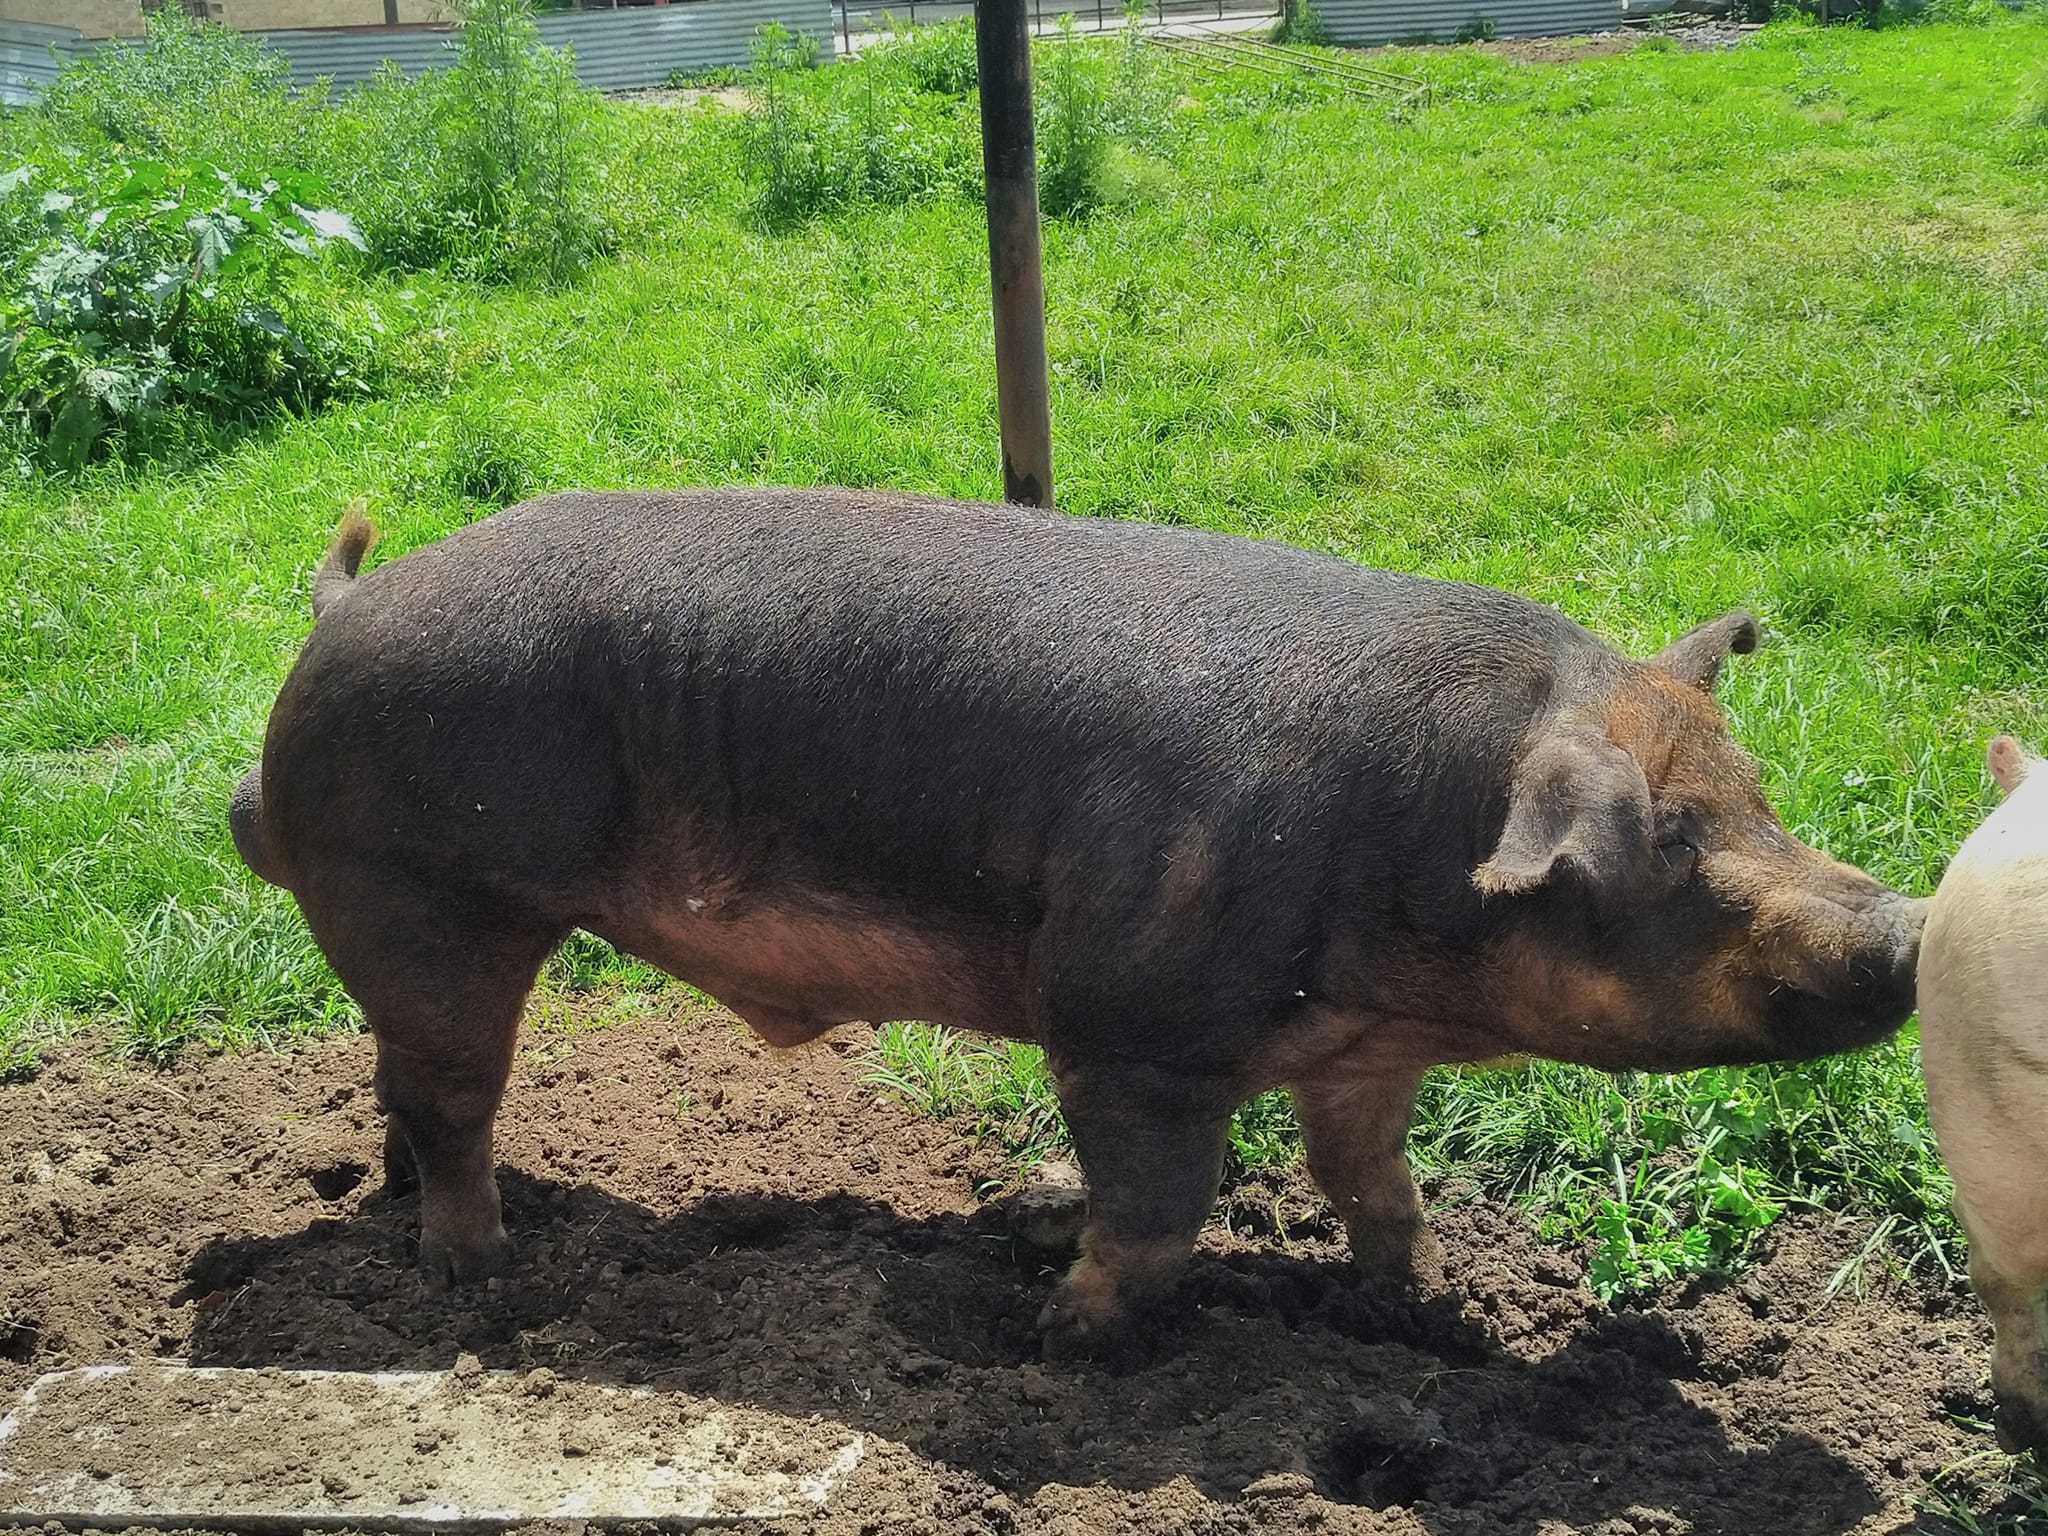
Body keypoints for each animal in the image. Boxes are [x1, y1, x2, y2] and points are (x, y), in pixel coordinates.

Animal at [230, 489, 1924, 1348]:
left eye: (1760, 800)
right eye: (1671, 846)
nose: (1907, 930)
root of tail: (338, 614)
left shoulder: (1363, 1053)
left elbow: (1371, 1181)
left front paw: (1407, 1306)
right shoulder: (1129, 1015)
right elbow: (1159, 1202)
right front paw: (1068, 1337)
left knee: (402, 1083)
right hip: (424, 890)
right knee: (453, 1092)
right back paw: (478, 1274)